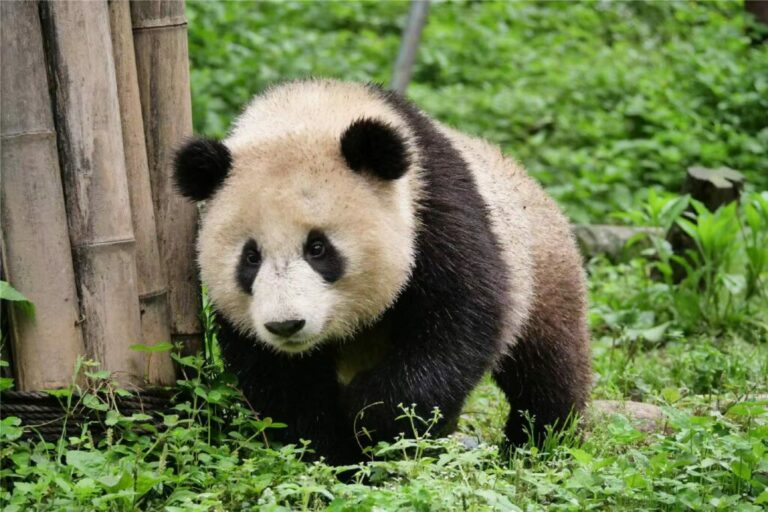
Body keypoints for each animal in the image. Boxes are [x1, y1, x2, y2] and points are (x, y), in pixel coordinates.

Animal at [174, 79, 592, 464]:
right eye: (250, 257)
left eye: (318, 248)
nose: (286, 325)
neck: (308, 114)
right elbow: (281, 382)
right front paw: (333, 452)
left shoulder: (435, 211)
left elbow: (458, 322)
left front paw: (373, 416)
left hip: (540, 265)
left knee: (546, 365)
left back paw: (537, 442)